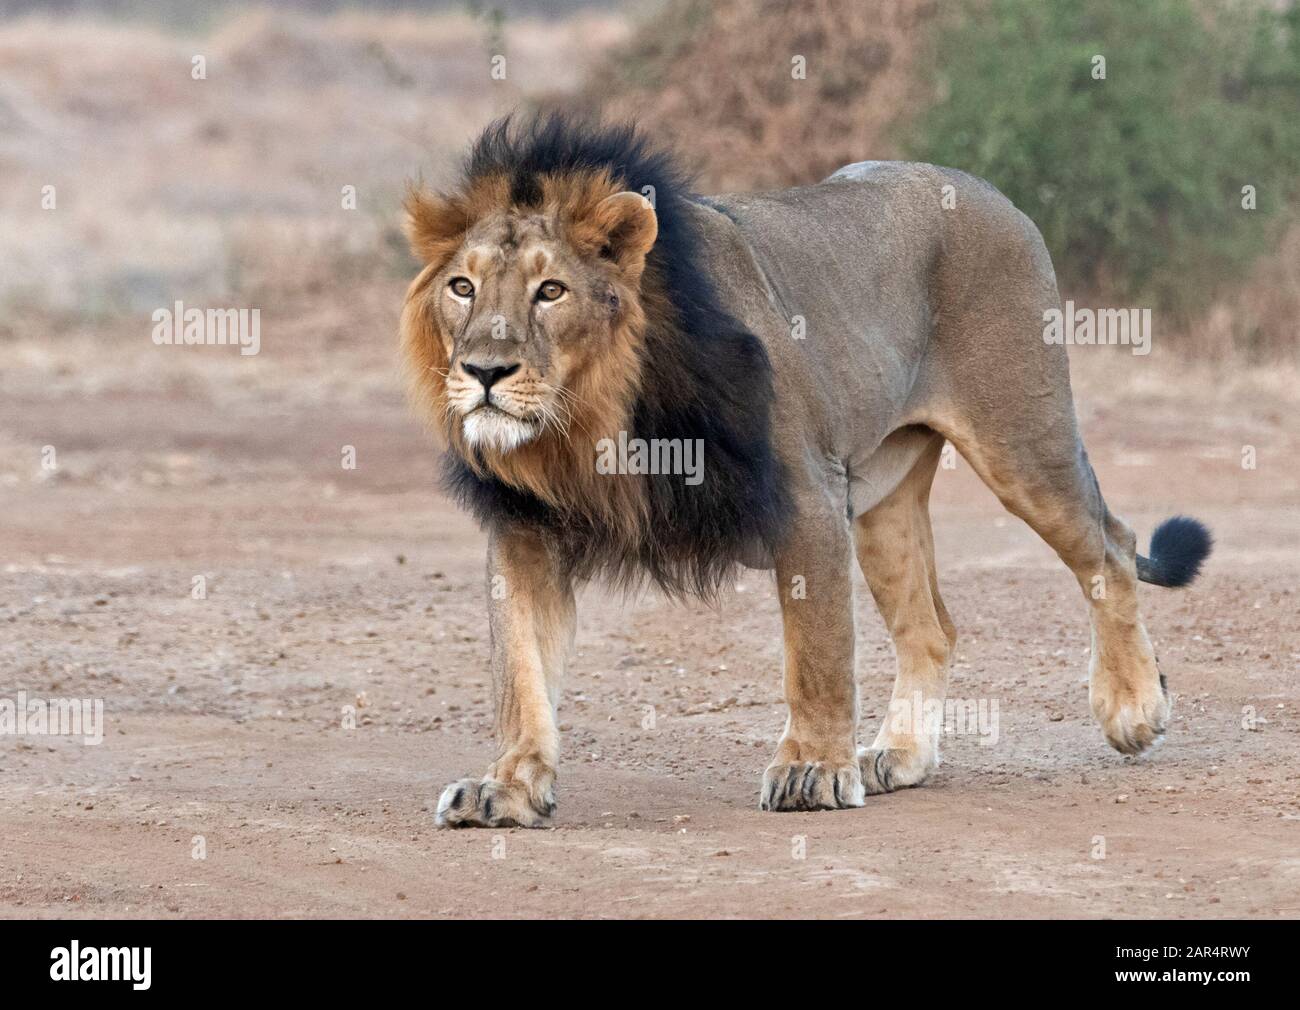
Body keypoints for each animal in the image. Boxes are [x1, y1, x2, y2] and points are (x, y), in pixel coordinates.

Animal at [400, 114, 1212, 827]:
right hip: (884, 502)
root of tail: (990, 192)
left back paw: (1133, 707)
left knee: (1109, 547)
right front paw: (506, 787)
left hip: (1019, 437)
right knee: (933, 627)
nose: (484, 371)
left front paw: (813, 770)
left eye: (551, 291)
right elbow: (519, 671)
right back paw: (901, 755)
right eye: (463, 288)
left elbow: (817, 653)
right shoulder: (526, 530)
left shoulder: (808, 495)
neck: (589, 420)